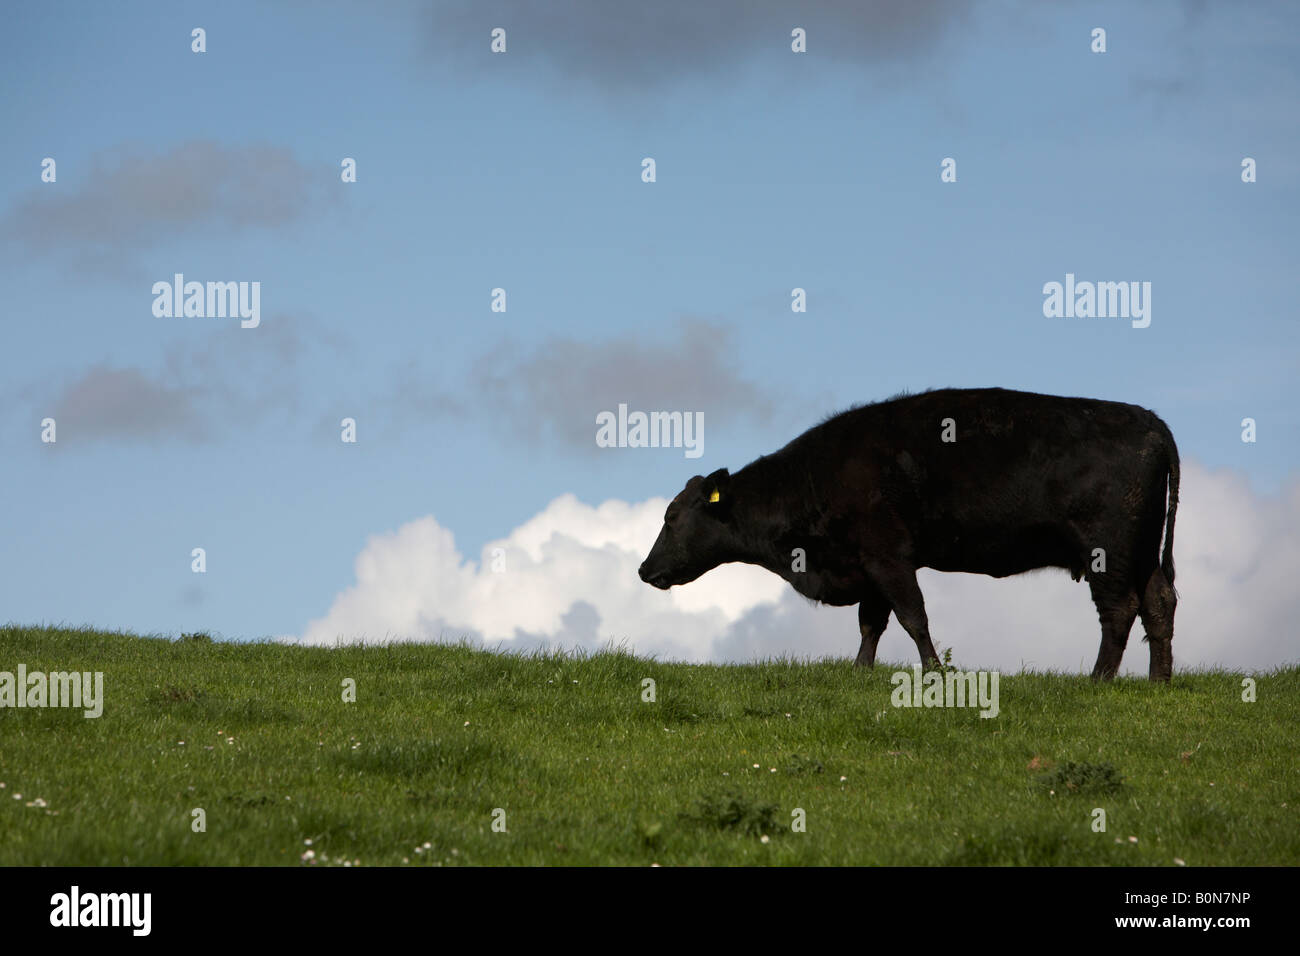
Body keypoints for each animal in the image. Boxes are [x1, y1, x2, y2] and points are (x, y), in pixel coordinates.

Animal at [638, 387, 1179, 681]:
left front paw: (935, 671)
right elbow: (871, 623)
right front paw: (860, 671)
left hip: (1107, 550)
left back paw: (1098, 680)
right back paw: (1158, 681)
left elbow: (912, 616)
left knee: (1119, 610)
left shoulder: (888, 556)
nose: (644, 569)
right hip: (1143, 552)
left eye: (671, 515)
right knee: (1159, 602)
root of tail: (1151, 420)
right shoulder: (868, 564)